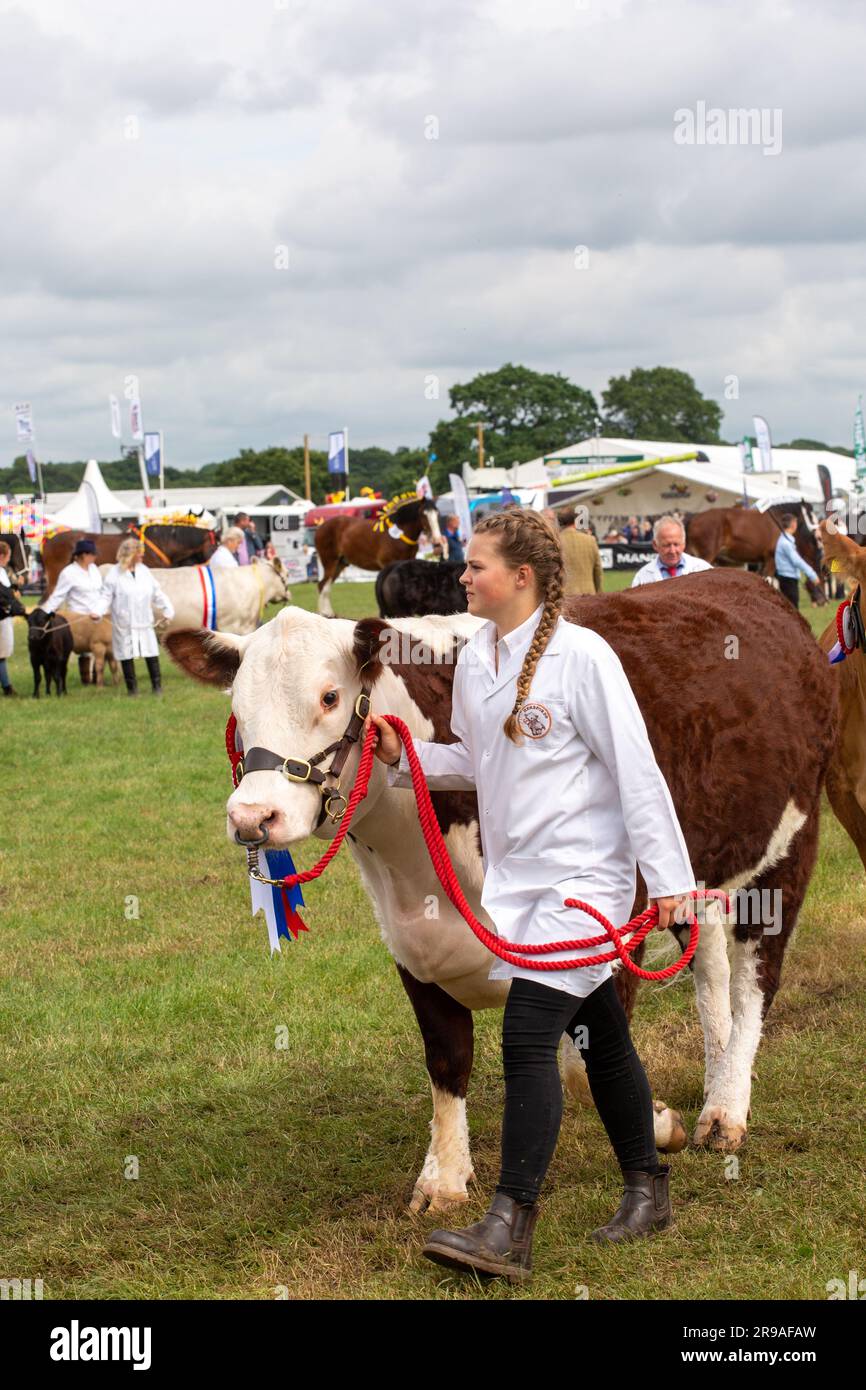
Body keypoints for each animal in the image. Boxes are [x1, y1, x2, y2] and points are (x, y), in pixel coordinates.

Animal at [167, 570, 837, 1212]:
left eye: (329, 697)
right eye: (238, 710)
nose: (253, 816)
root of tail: (746, 584)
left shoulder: (608, 933)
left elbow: (584, 1064)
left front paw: (658, 1122)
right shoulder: (412, 943)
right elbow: (447, 1059)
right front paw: (442, 1179)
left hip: (786, 852)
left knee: (755, 979)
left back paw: (725, 1109)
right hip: (686, 865)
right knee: (711, 966)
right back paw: (716, 1075)